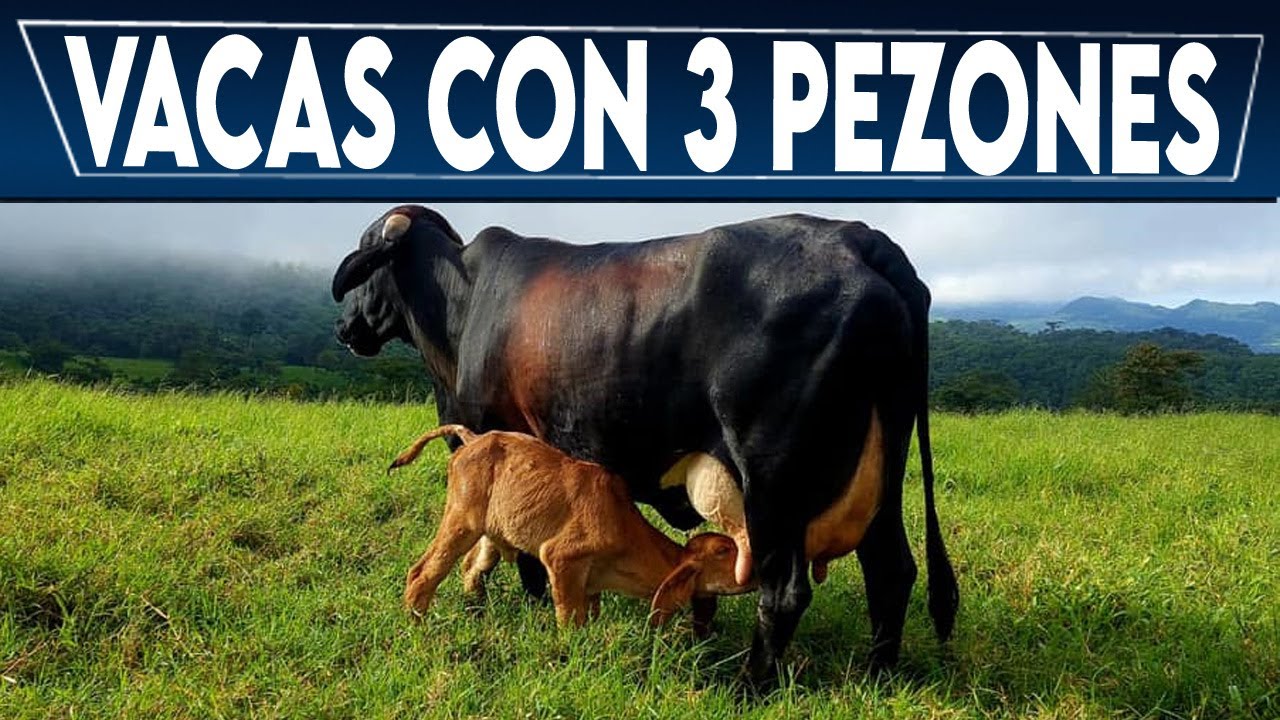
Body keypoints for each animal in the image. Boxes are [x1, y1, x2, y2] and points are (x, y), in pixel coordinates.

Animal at [332, 205, 958, 684]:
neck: (459, 311)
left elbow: (519, 546)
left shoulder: (498, 430)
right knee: (892, 572)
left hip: (774, 483)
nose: (344, 327)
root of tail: (860, 238)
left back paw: (751, 685)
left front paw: (528, 601)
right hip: (881, 474)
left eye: (365, 261)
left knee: (785, 591)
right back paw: (877, 676)